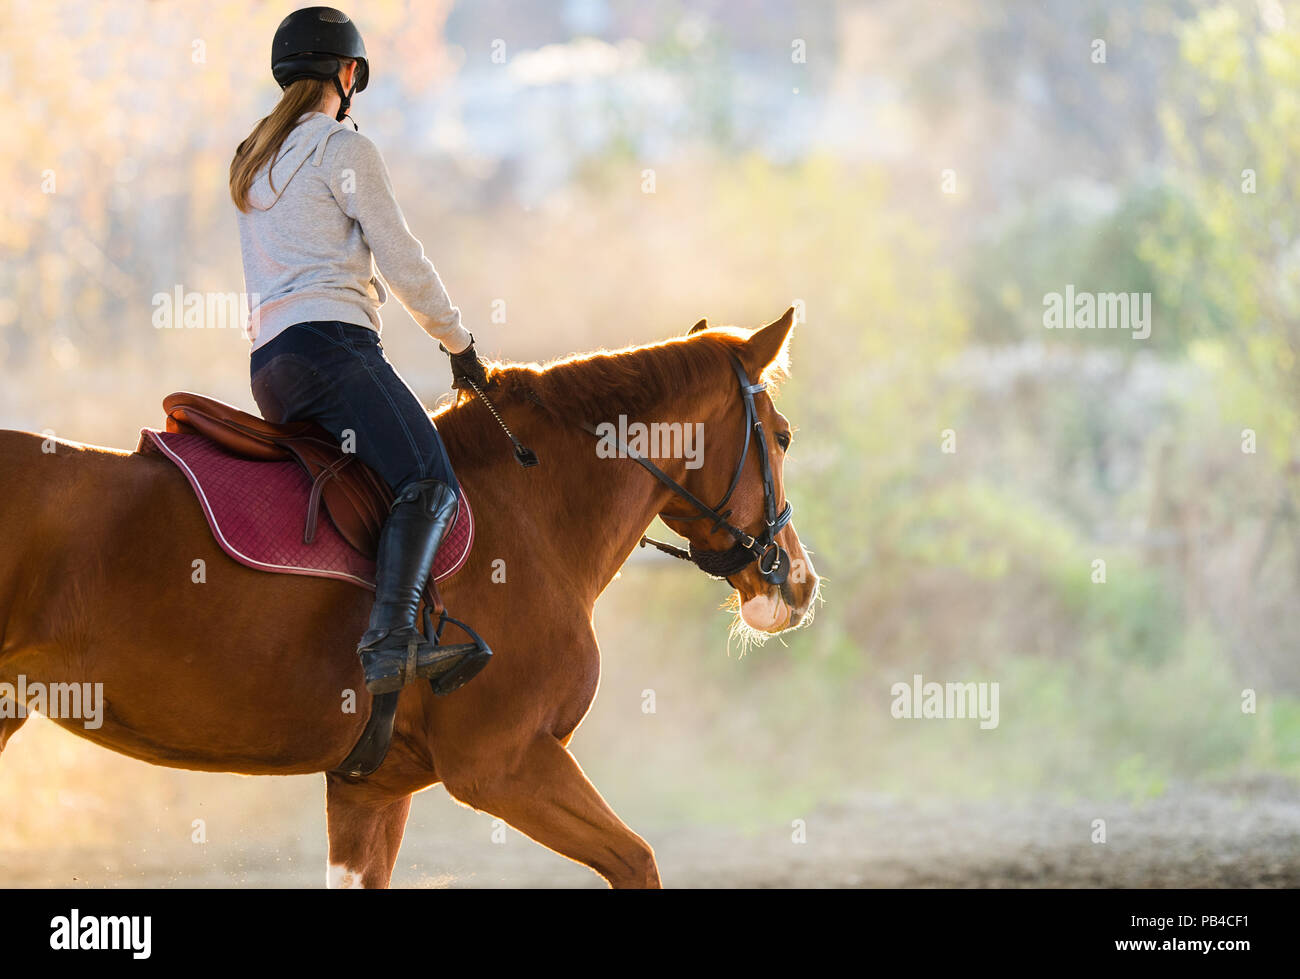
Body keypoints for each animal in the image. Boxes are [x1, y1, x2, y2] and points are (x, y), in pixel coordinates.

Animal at [0, 308, 820, 888]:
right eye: (780, 436)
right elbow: (639, 861)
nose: (798, 584)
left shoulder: (372, 788)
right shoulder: (506, 764)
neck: (527, 508)